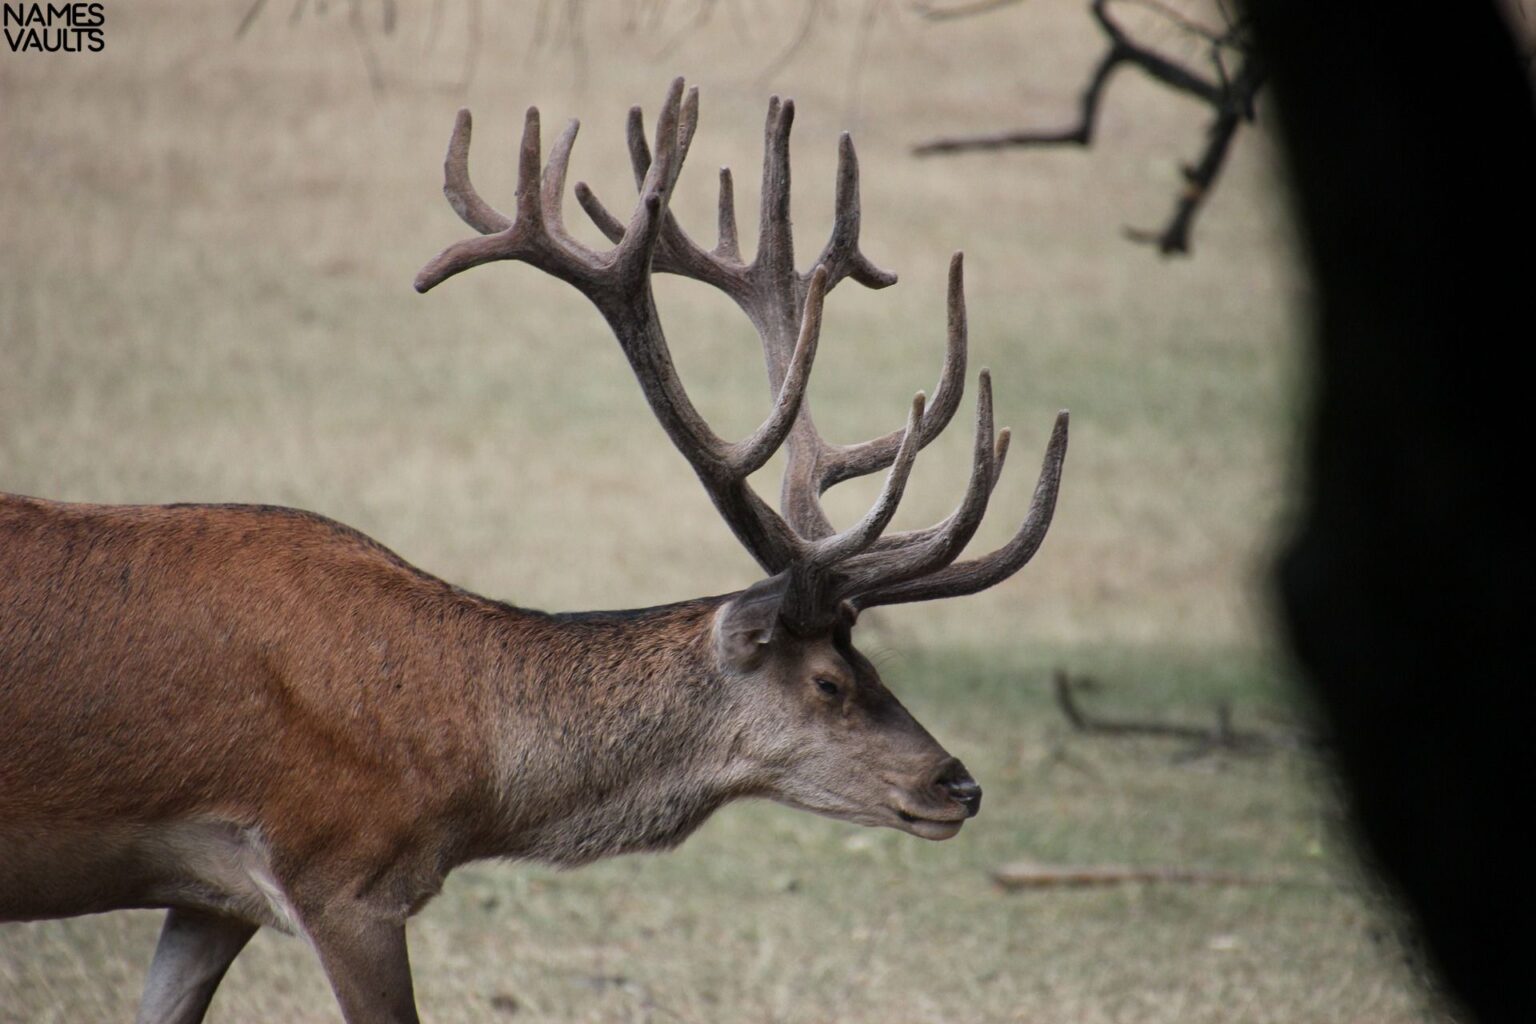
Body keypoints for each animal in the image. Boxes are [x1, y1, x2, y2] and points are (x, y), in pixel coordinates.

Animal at [0, 78, 1067, 1024]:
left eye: (871, 662)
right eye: (831, 682)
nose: (958, 784)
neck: (465, 771)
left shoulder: (210, 897)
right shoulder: (336, 869)